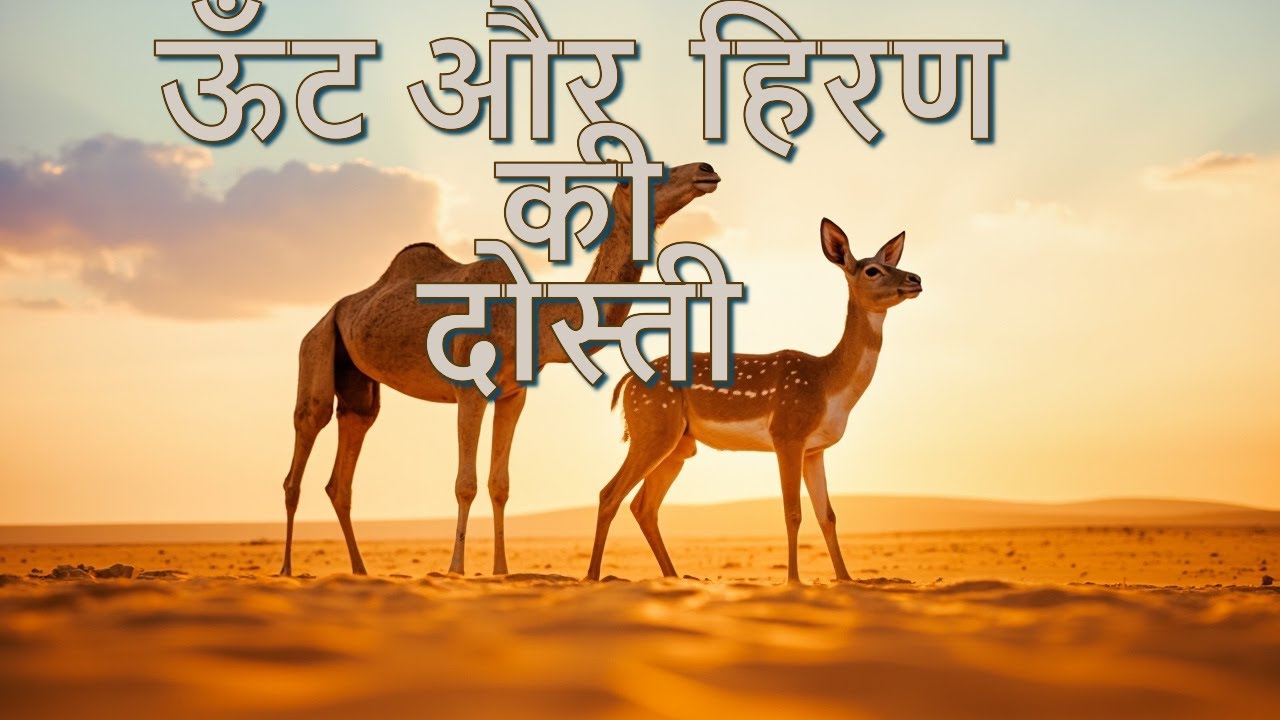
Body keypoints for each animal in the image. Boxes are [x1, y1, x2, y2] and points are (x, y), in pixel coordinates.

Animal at [280, 162, 722, 577]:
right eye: (640, 177)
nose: (706, 170)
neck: (531, 320)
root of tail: (333, 311)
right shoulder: (469, 389)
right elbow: (466, 483)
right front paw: (456, 568)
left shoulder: (513, 393)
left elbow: (499, 484)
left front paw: (501, 569)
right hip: (316, 346)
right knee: (305, 436)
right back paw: (286, 568)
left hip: (359, 385)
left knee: (346, 461)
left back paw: (359, 569)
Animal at [585, 218, 922, 583]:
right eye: (873, 270)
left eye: (895, 264)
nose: (915, 279)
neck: (828, 385)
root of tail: (626, 382)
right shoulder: (787, 433)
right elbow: (793, 512)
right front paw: (793, 579)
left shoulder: (815, 449)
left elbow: (827, 515)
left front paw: (845, 578)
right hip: (653, 428)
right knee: (610, 494)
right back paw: (593, 576)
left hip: (678, 445)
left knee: (643, 506)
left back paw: (674, 575)